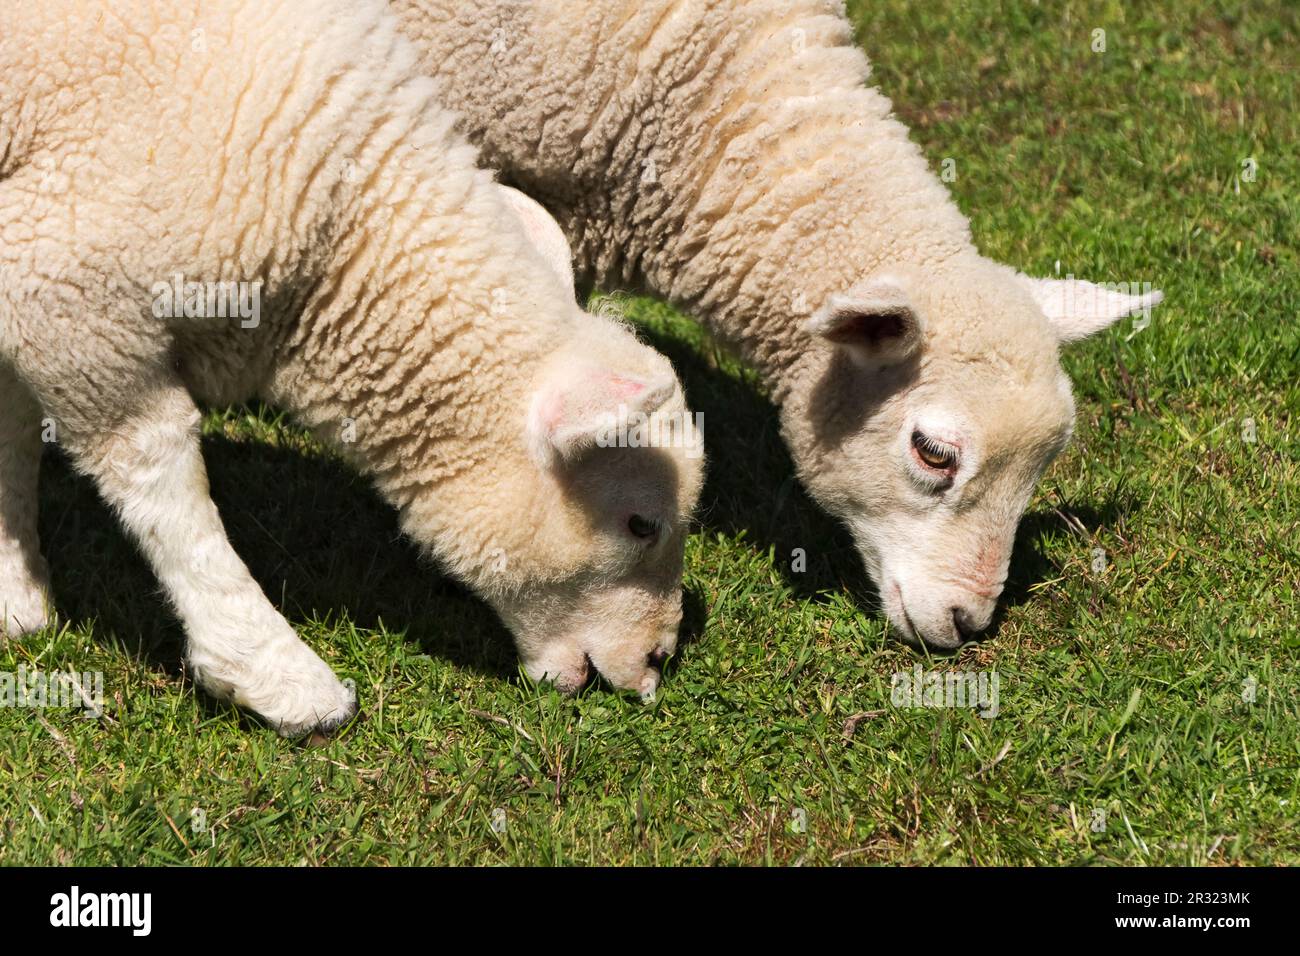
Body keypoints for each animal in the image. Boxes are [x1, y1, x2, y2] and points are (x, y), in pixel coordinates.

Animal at [0, 0, 704, 735]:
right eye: (641, 524)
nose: (657, 662)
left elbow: (12, 420)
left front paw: (14, 590)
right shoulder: (69, 279)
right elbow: (159, 472)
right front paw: (274, 675)